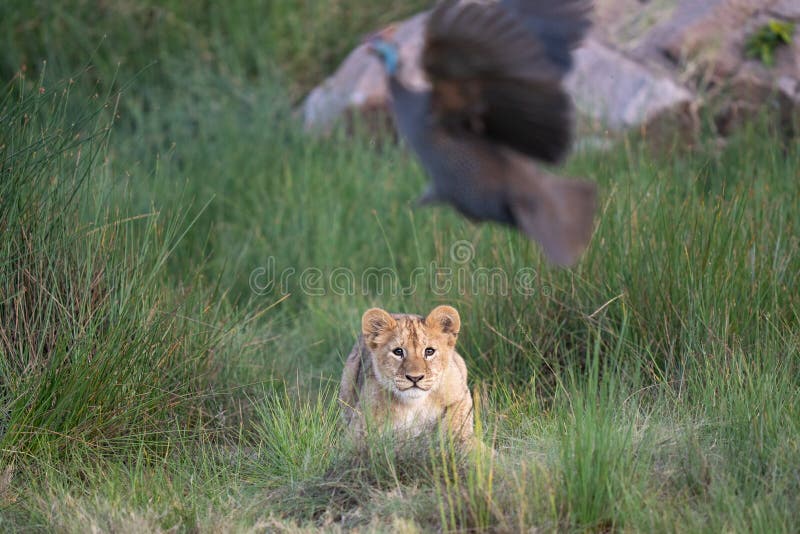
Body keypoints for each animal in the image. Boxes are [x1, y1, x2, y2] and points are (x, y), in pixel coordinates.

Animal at [338, 305, 474, 445]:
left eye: (429, 351)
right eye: (398, 352)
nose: (415, 377)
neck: (414, 406)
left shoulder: (461, 395)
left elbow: (457, 423)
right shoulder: (359, 426)